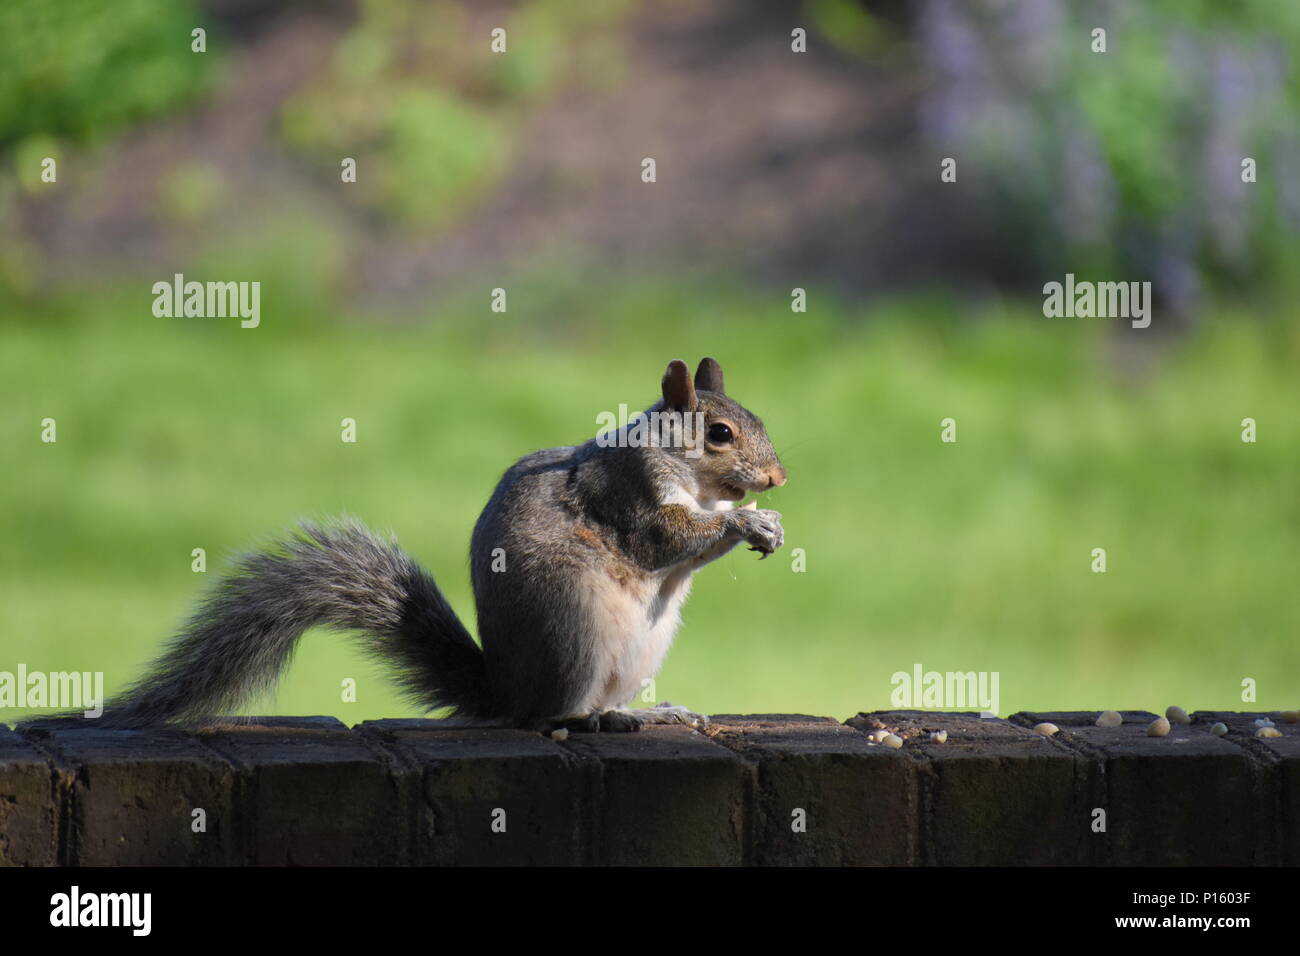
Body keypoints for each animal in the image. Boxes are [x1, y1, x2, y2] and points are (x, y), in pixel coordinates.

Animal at [72, 357, 786, 733]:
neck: (689, 474)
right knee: (549, 718)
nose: (778, 478)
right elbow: (663, 538)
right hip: (575, 629)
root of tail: (505, 695)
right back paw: (591, 720)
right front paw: (745, 524)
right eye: (720, 433)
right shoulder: (624, 492)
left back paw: (652, 712)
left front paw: (766, 524)